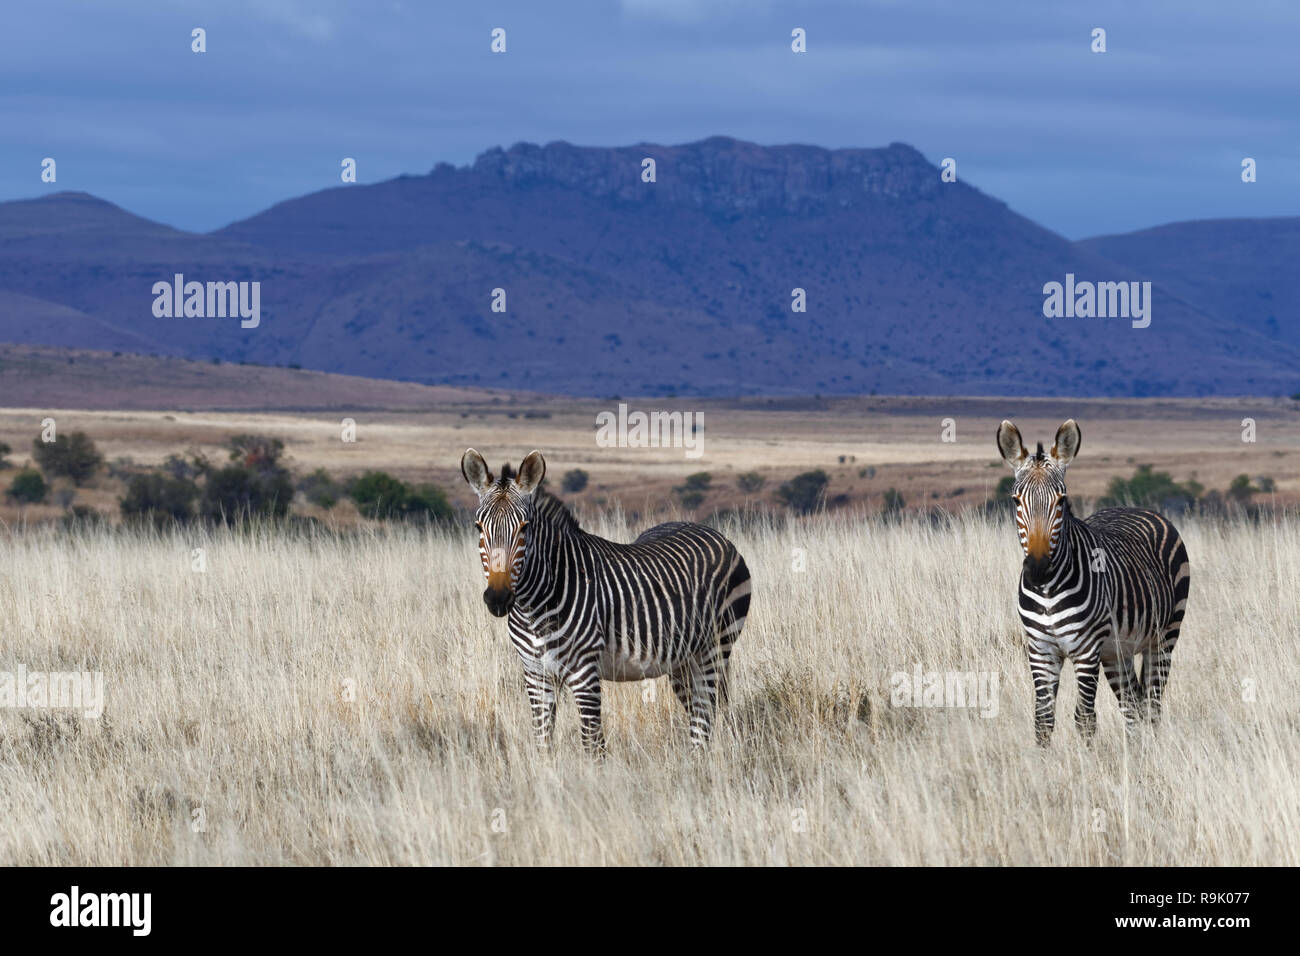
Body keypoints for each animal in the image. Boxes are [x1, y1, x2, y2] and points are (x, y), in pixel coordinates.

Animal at [460, 448, 752, 754]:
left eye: (525, 528)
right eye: (479, 527)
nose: (498, 598)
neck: (534, 607)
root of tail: (712, 532)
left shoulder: (584, 673)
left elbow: (593, 745)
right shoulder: (535, 674)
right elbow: (542, 741)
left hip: (715, 647)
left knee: (704, 717)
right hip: (683, 660)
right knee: (699, 713)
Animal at [996, 420, 1190, 746]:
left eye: (1061, 500)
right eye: (1016, 500)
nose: (1038, 569)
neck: (1049, 591)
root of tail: (1132, 506)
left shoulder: (1086, 651)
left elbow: (1085, 719)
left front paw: (1087, 760)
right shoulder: (1040, 650)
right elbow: (1043, 720)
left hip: (1164, 637)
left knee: (1153, 705)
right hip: (1117, 651)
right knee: (1133, 704)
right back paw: (1135, 753)